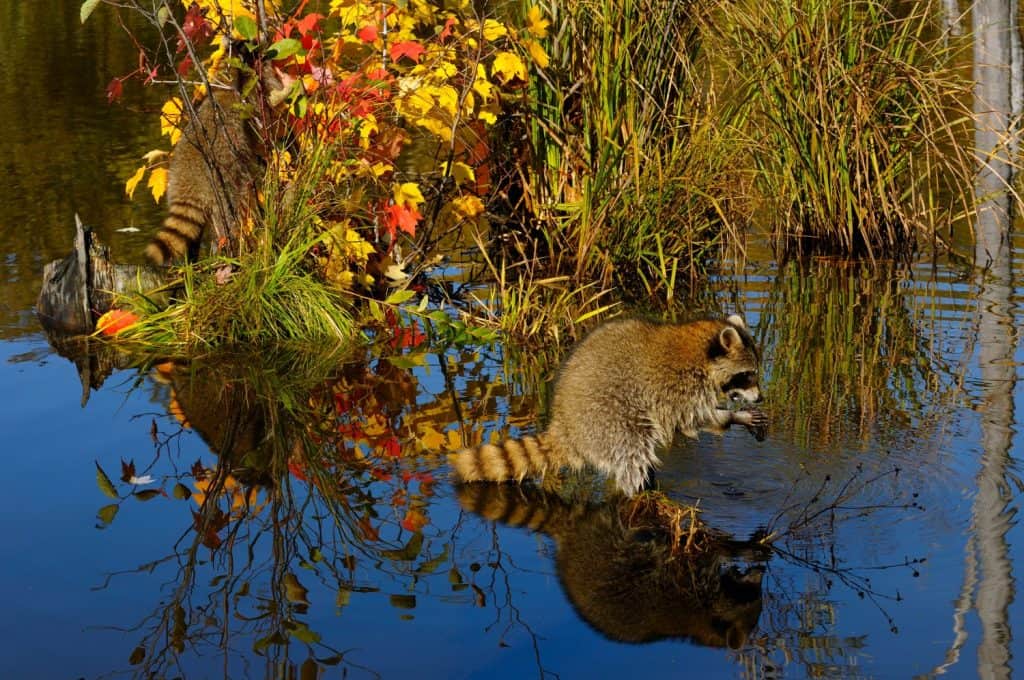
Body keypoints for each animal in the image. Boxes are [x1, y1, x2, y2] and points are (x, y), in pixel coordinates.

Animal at [452, 315, 767, 496]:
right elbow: (688, 419)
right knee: (632, 448)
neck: (702, 355)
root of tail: (564, 424)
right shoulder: (676, 389)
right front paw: (730, 417)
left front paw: (737, 415)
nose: (760, 398)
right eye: (748, 374)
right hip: (607, 418)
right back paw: (641, 491)